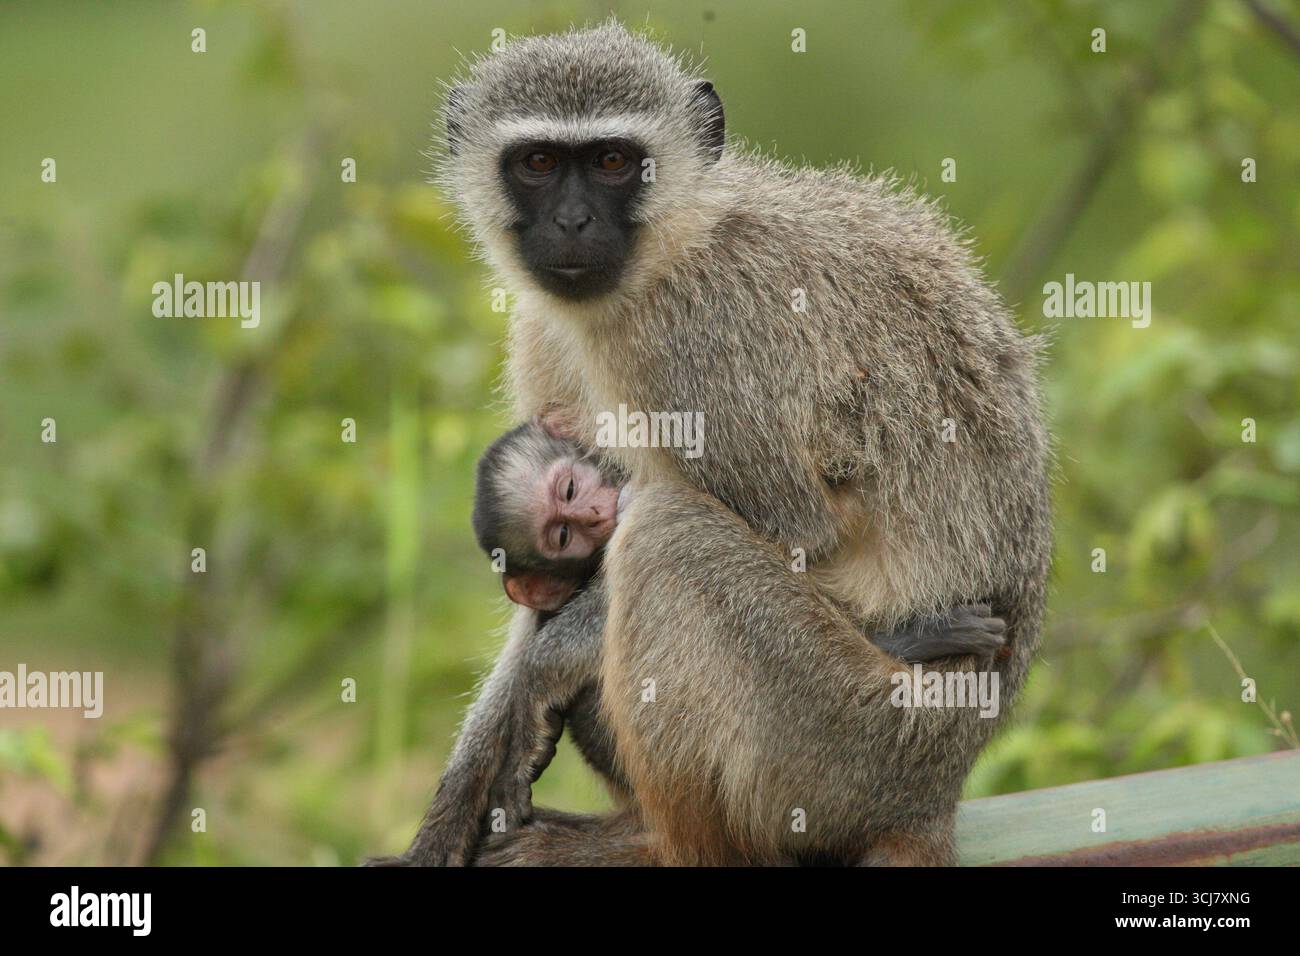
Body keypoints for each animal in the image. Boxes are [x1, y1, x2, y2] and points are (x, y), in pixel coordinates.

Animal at [396, 19, 1052, 866]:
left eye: (612, 162)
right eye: (537, 163)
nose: (572, 224)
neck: (670, 250)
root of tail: (931, 800)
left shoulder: (693, 338)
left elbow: (799, 531)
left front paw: (551, 660)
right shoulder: (545, 333)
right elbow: (542, 577)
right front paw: (457, 797)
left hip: (846, 740)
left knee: (668, 538)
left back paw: (665, 846)